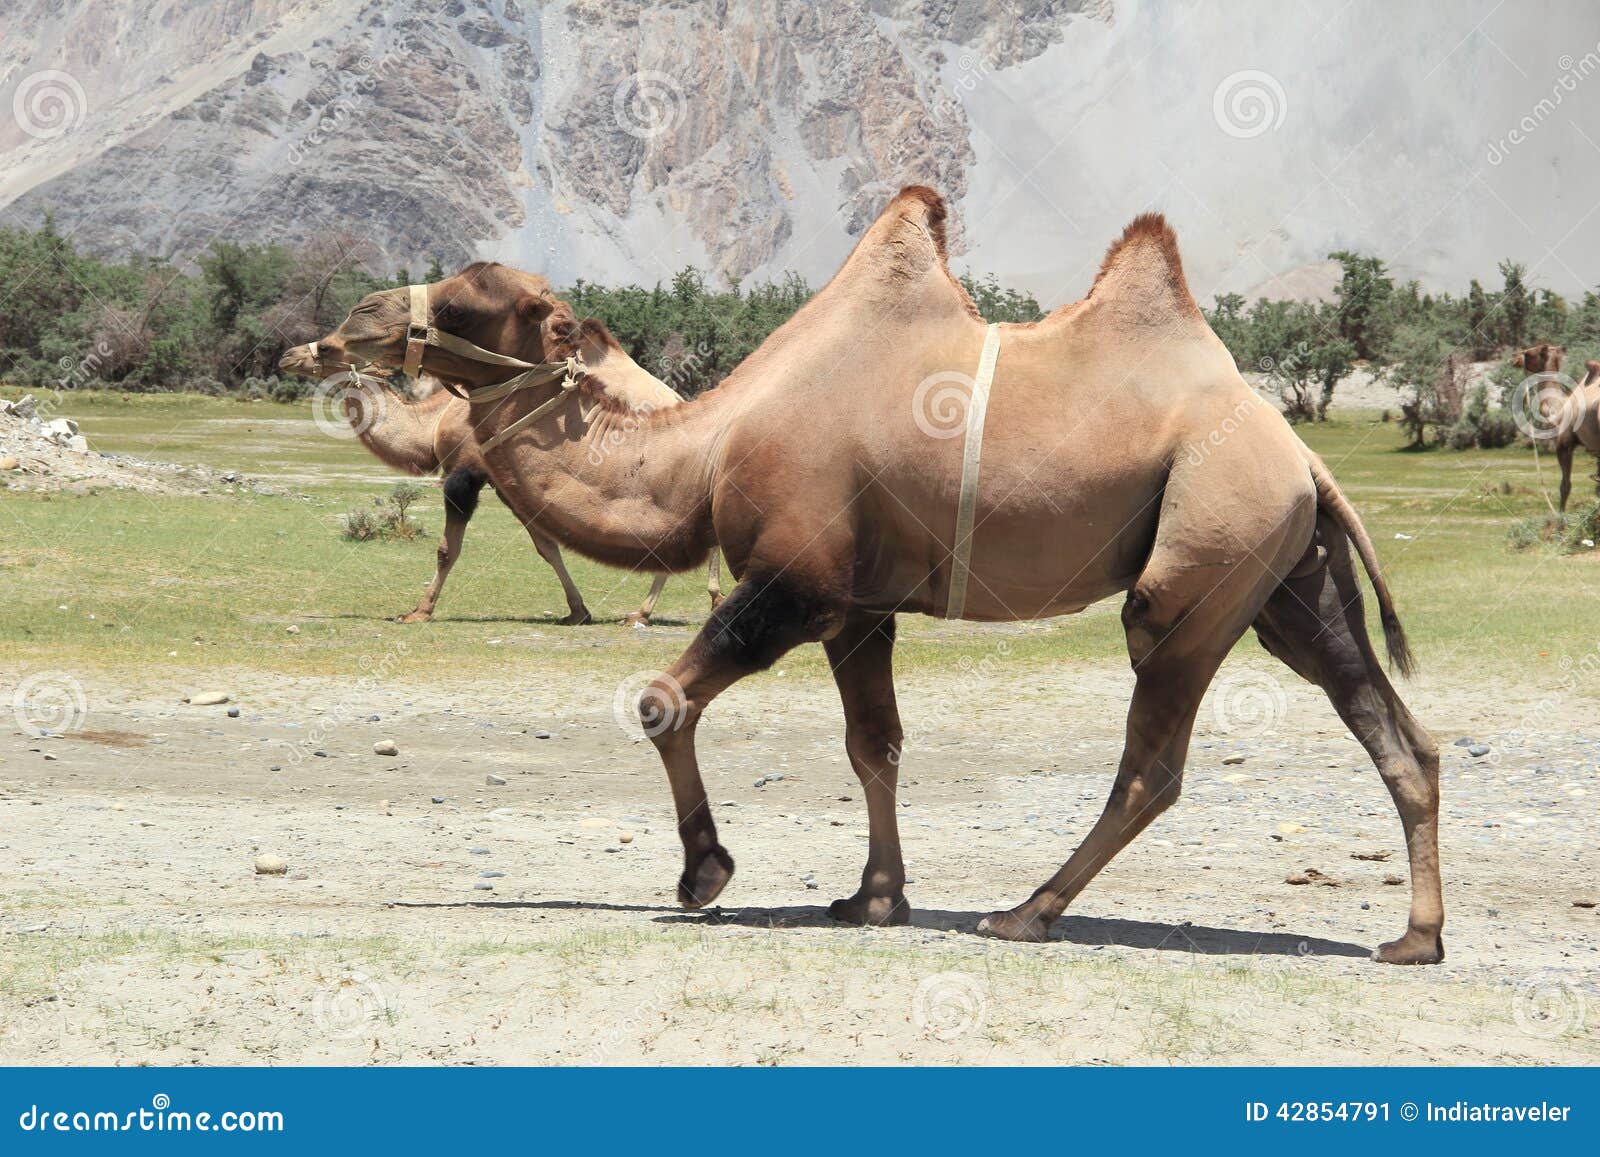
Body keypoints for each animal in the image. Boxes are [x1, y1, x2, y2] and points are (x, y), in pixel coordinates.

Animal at [276, 336, 722, 624]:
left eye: (331, 347)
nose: (287, 355)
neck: (433, 423)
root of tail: (676, 400)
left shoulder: (466, 474)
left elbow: (447, 549)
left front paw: (419, 611)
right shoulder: (513, 484)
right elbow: (546, 547)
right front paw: (577, 611)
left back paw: (648, 611)